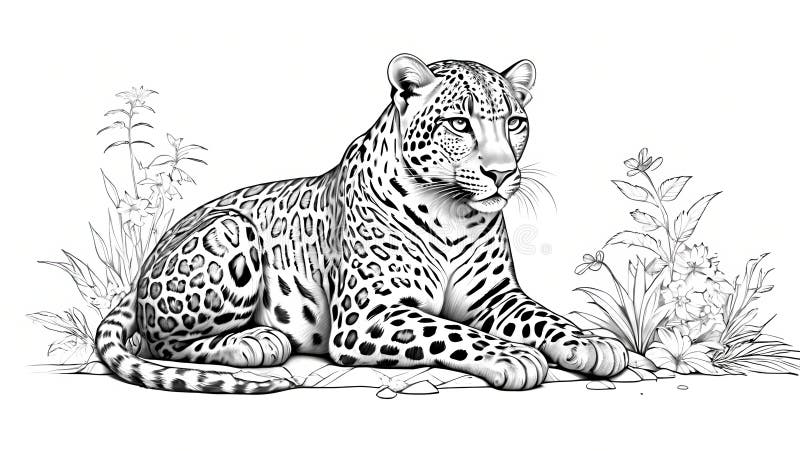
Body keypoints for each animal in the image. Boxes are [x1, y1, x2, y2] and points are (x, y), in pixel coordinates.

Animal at [95, 54, 628, 393]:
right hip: (232, 228)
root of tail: (145, 263)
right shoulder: (367, 315)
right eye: (459, 124)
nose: (502, 173)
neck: (453, 213)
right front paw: (511, 356)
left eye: (515, 123)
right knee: (161, 343)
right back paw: (256, 340)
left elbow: (547, 318)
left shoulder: (496, 296)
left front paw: (594, 344)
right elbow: (451, 332)